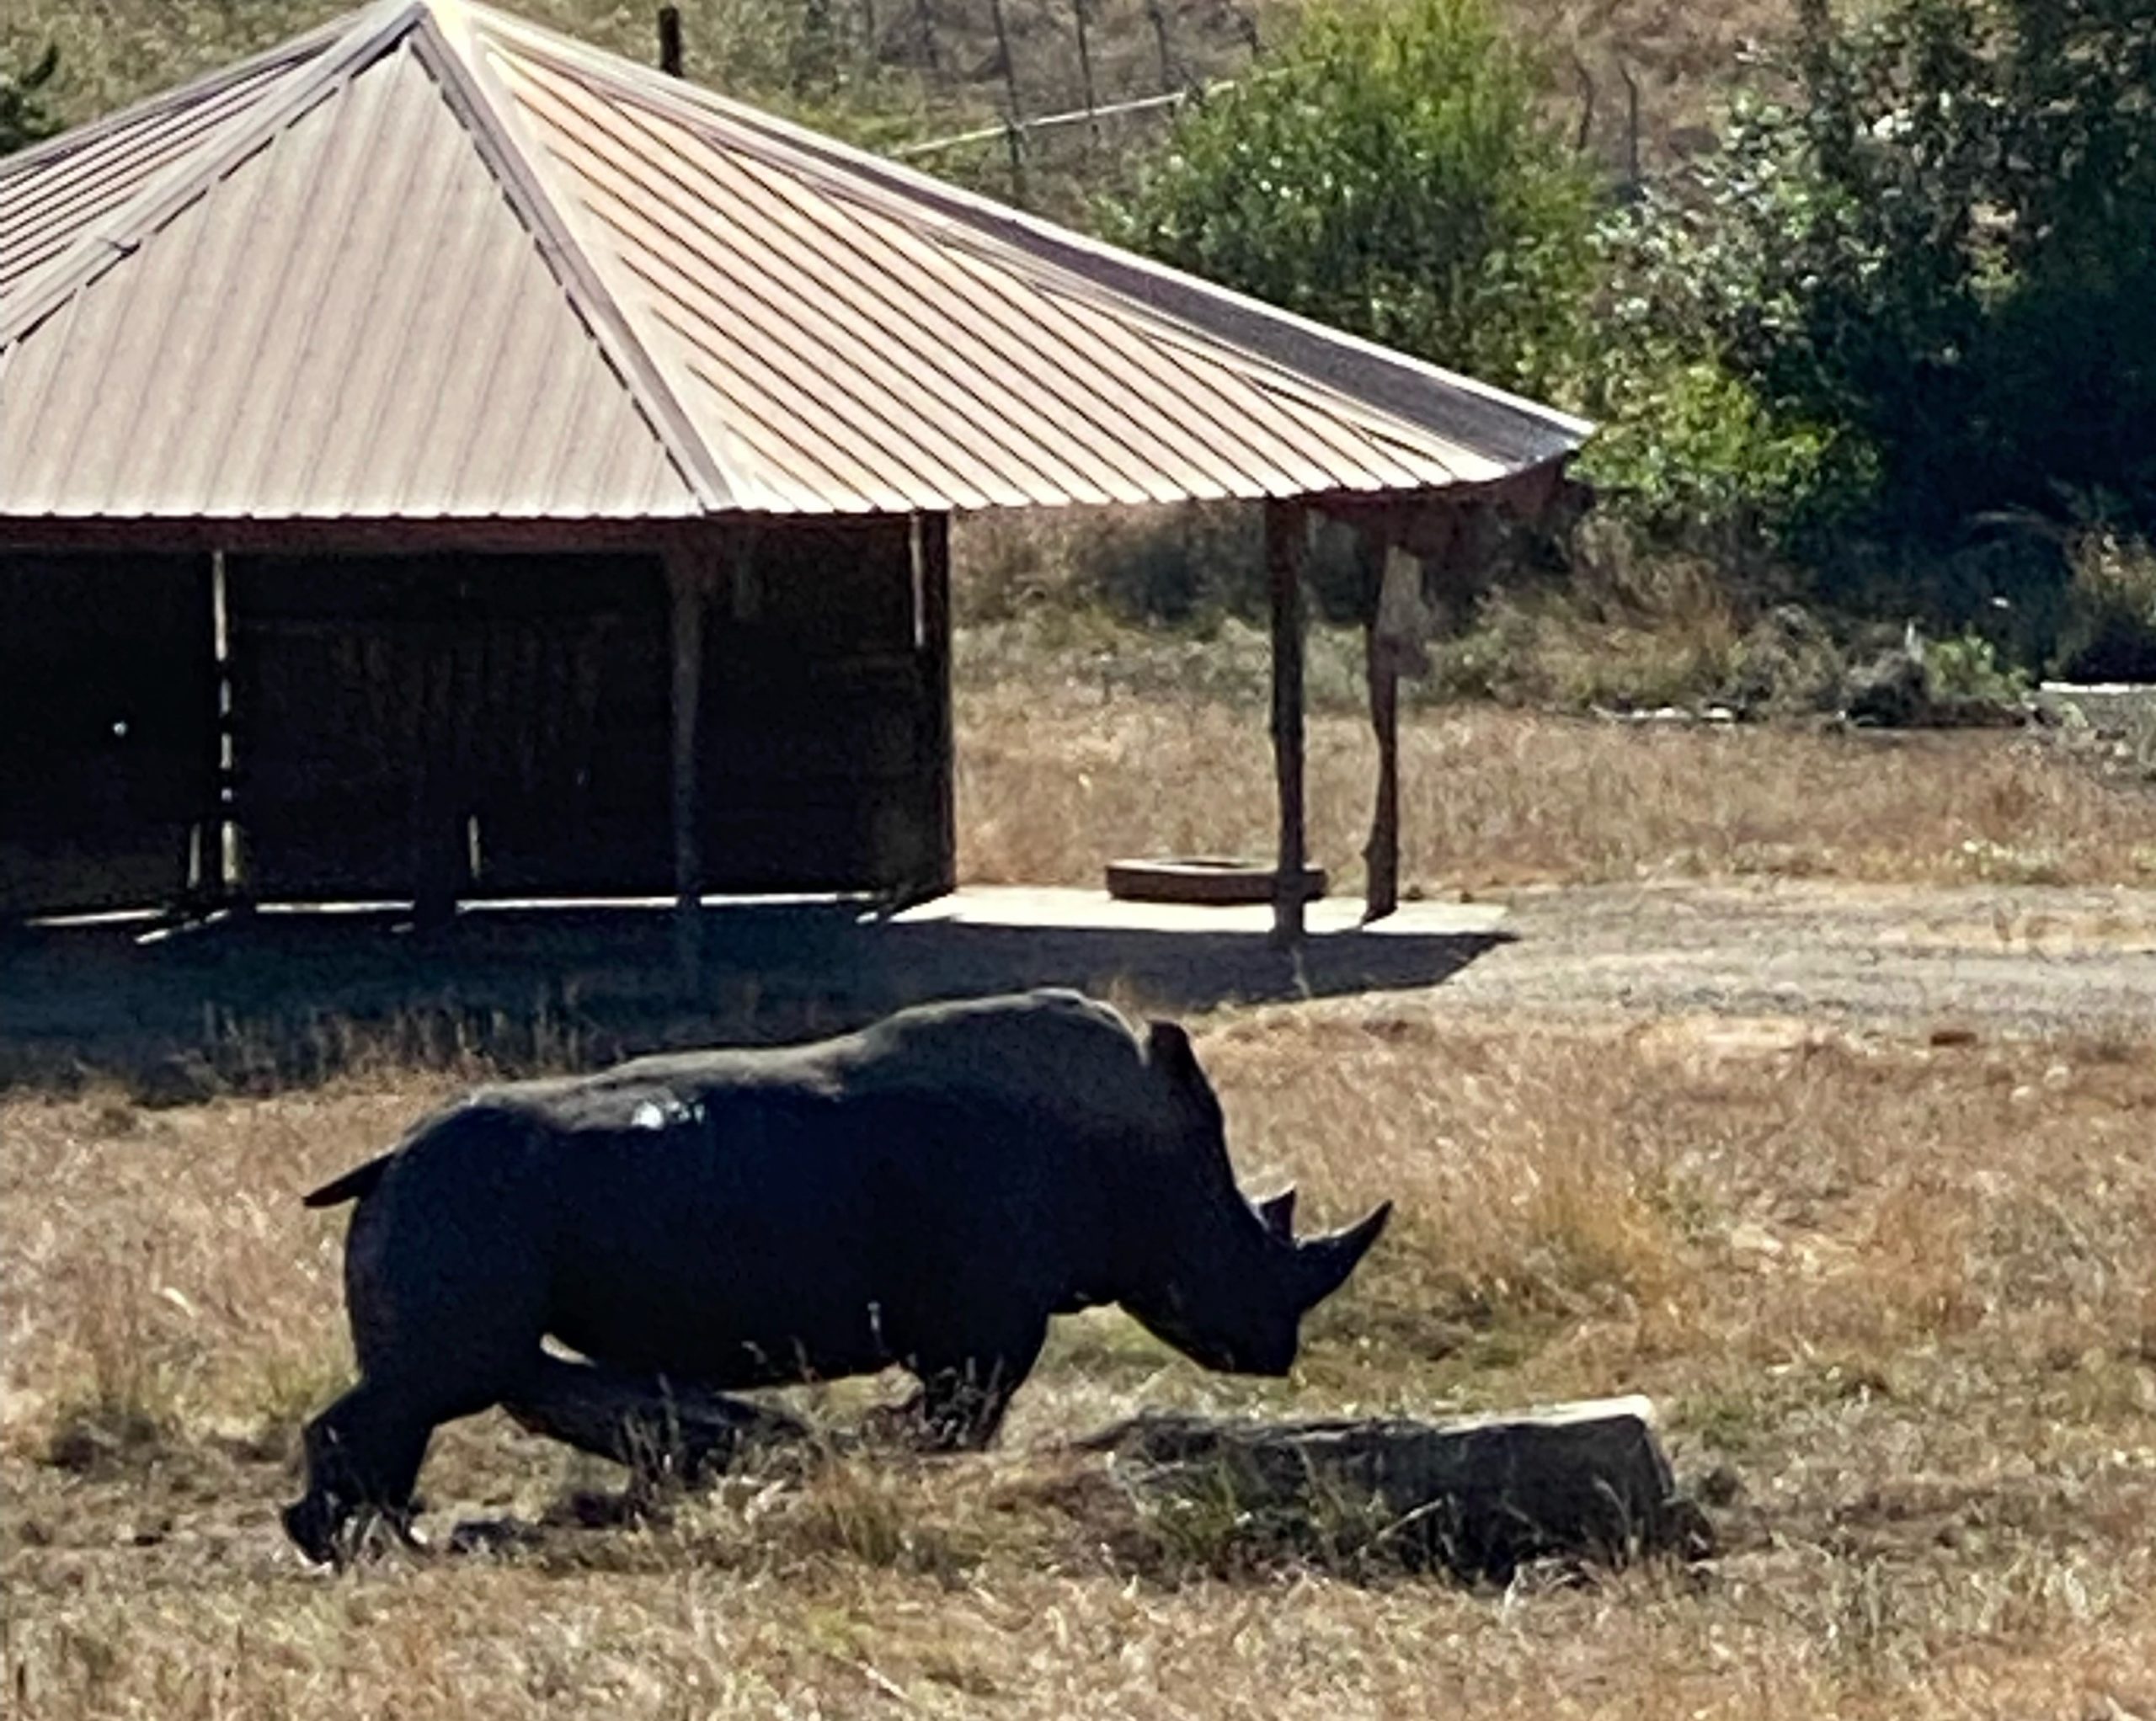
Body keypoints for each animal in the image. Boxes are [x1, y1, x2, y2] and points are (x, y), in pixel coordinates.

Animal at [283, 989, 1390, 1563]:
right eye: (1232, 1249)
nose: (1274, 1356)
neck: (1142, 1159)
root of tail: (388, 1155)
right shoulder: (988, 1316)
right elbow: (970, 1407)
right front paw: (905, 1452)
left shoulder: (974, 1318)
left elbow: (961, 1409)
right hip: (465, 1201)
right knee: (440, 1380)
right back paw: (360, 1544)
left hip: (460, 1199)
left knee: (456, 1381)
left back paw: (383, 1534)